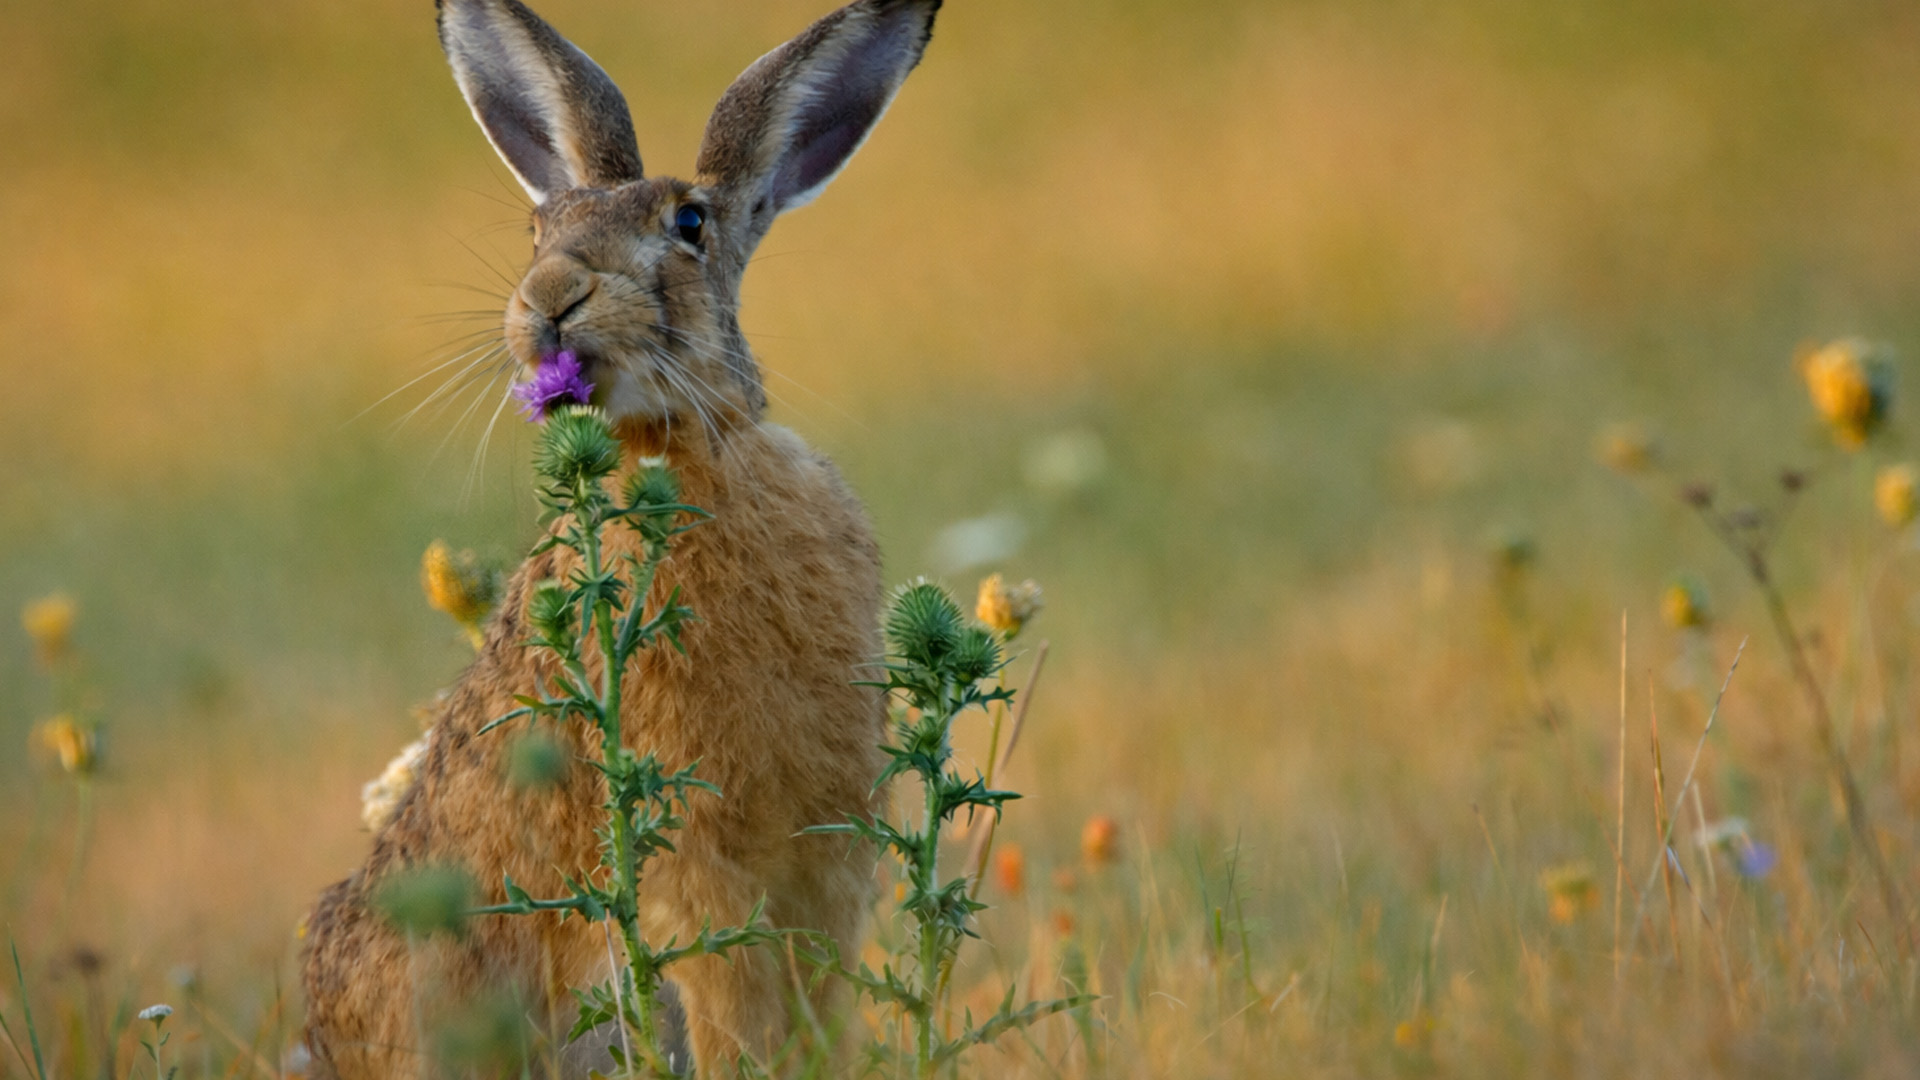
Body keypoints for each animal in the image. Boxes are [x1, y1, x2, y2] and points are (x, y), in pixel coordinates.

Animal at [300, 0, 943, 1075]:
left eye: (689, 225)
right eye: (537, 231)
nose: (549, 298)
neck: (682, 445)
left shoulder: (823, 857)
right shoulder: (696, 858)